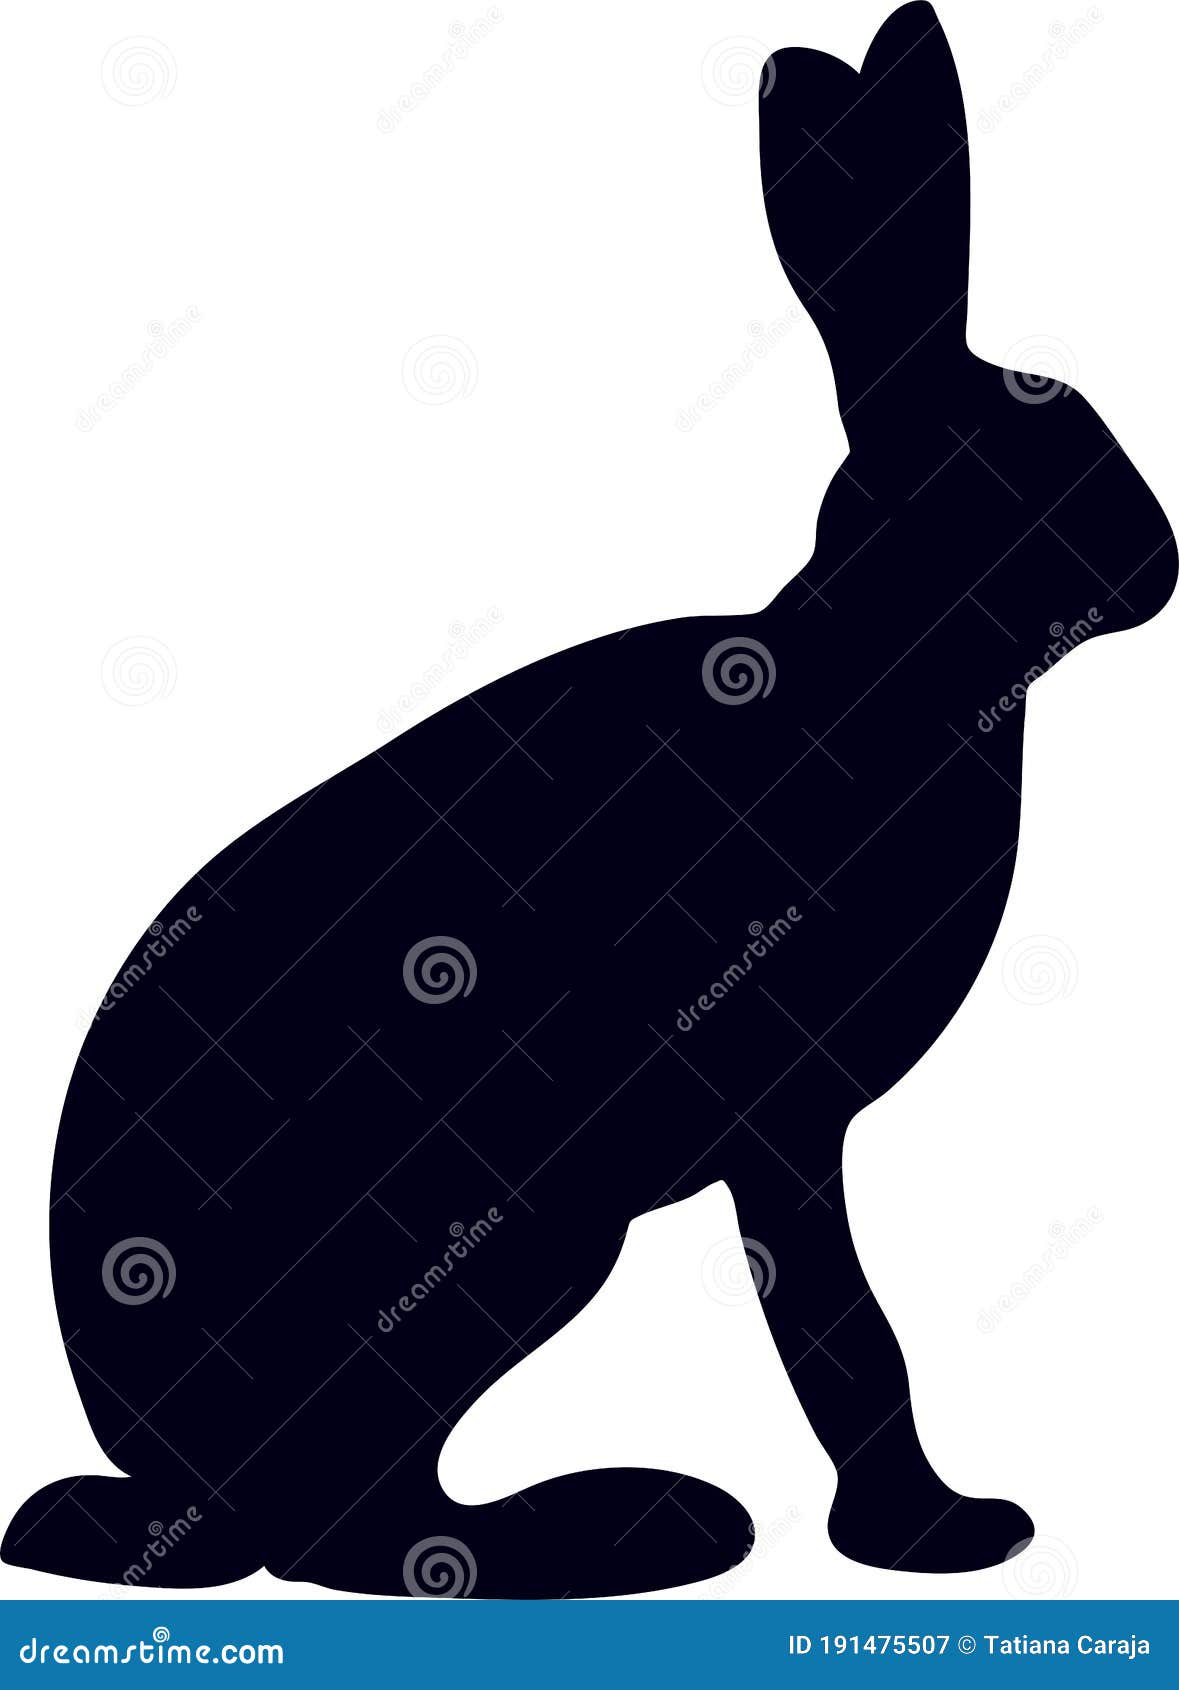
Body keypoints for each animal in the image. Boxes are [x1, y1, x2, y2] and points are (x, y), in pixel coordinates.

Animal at [5, 1, 1175, 1599]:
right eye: (1035, 457)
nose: (1161, 563)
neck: (881, 662)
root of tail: (189, 1492)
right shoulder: (785, 1122)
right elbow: (843, 1328)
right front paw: (944, 1538)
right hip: (520, 1233)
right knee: (358, 1533)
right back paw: (636, 1524)